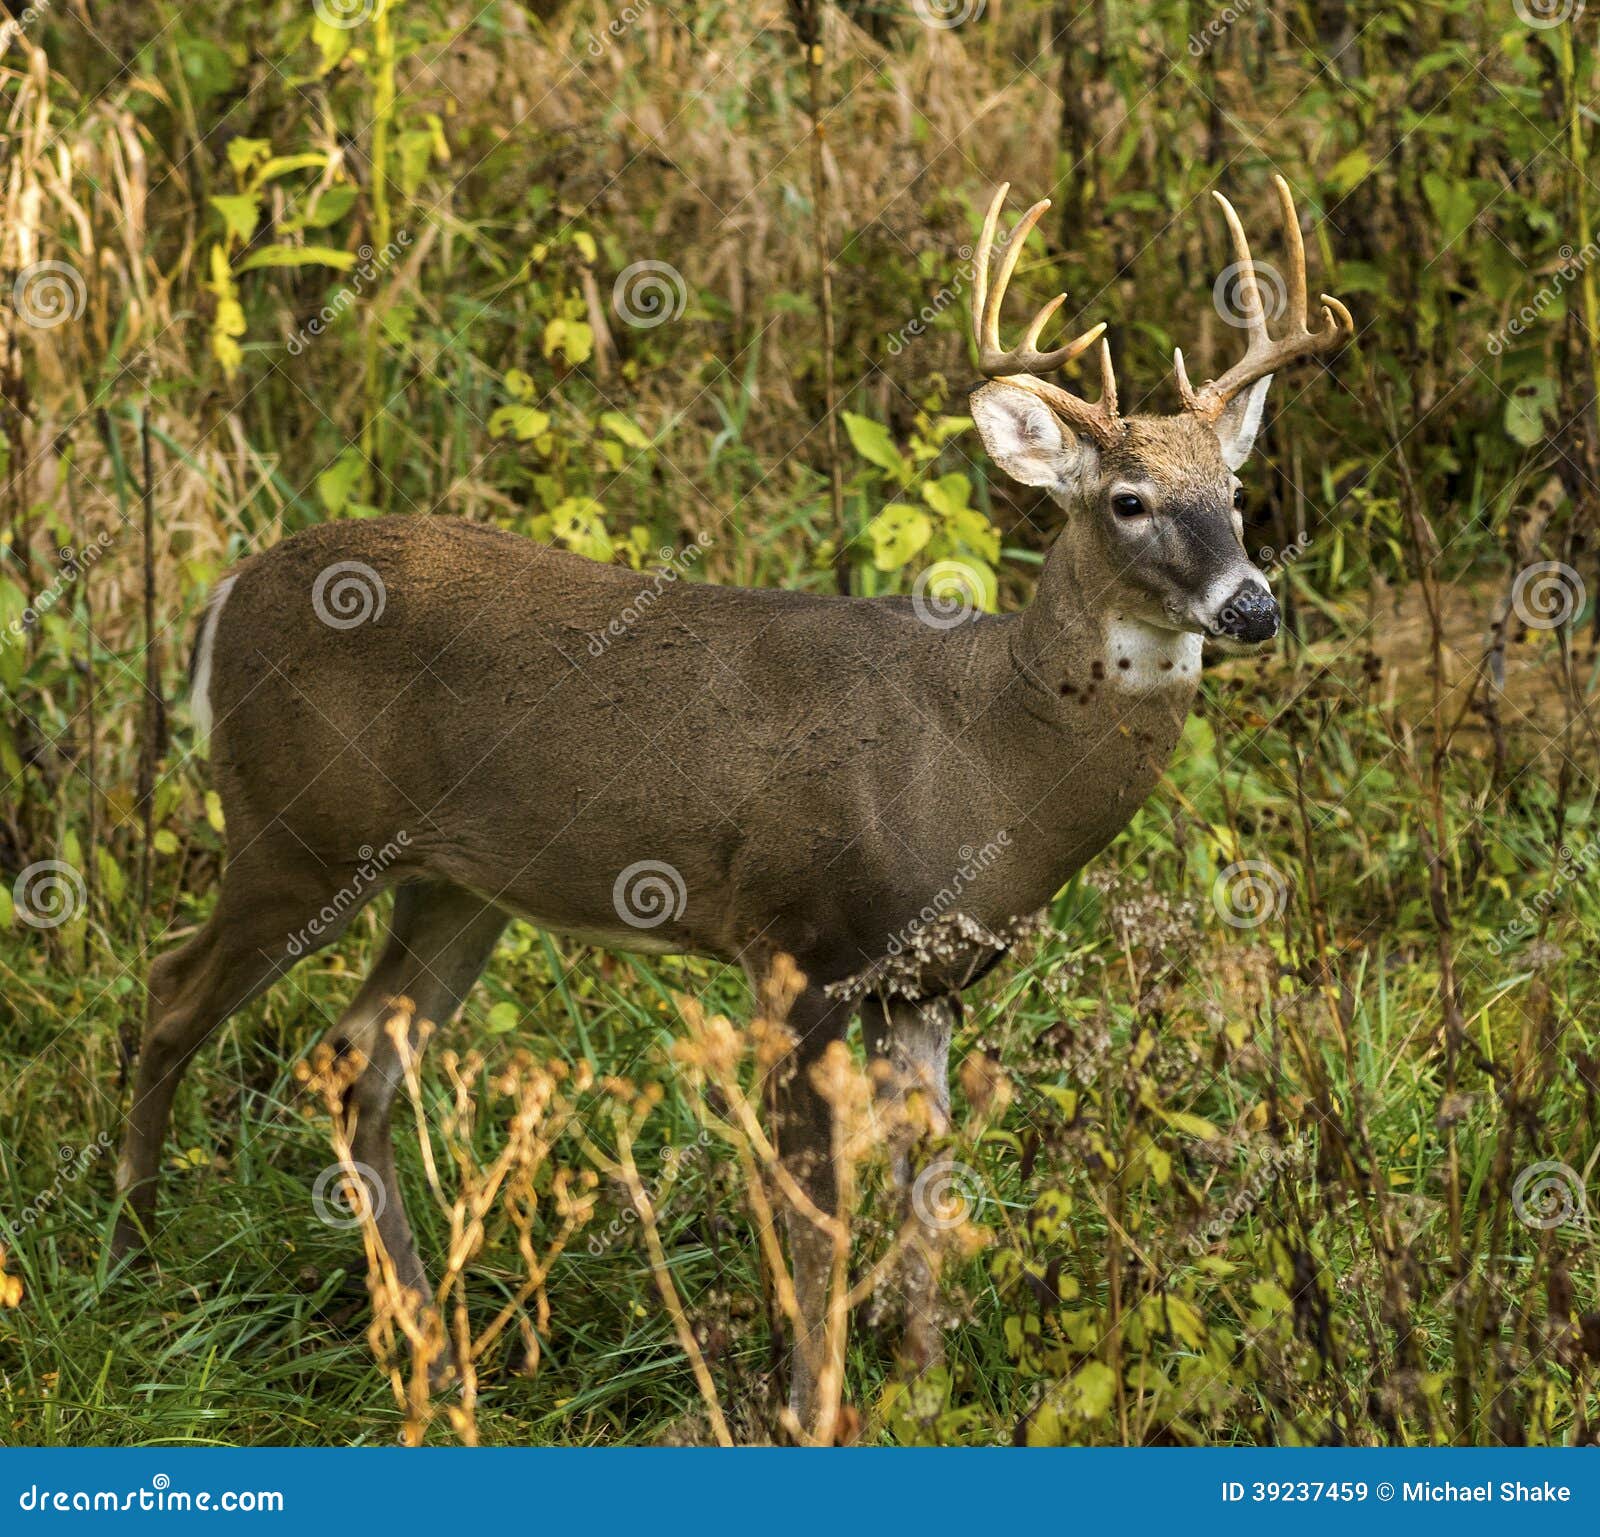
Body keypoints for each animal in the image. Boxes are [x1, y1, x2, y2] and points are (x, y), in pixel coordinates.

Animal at [110, 176, 1351, 1438]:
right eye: (1129, 500)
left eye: (1233, 492)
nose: (1251, 607)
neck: (978, 759)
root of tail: (222, 594)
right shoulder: (797, 941)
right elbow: (813, 1206)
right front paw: (814, 1405)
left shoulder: (925, 982)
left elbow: (930, 1187)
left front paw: (920, 1386)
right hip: (293, 829)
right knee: (172, 988)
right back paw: (135, 1260)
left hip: (451, 886)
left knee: (354, 1056)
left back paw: (433, 1356)